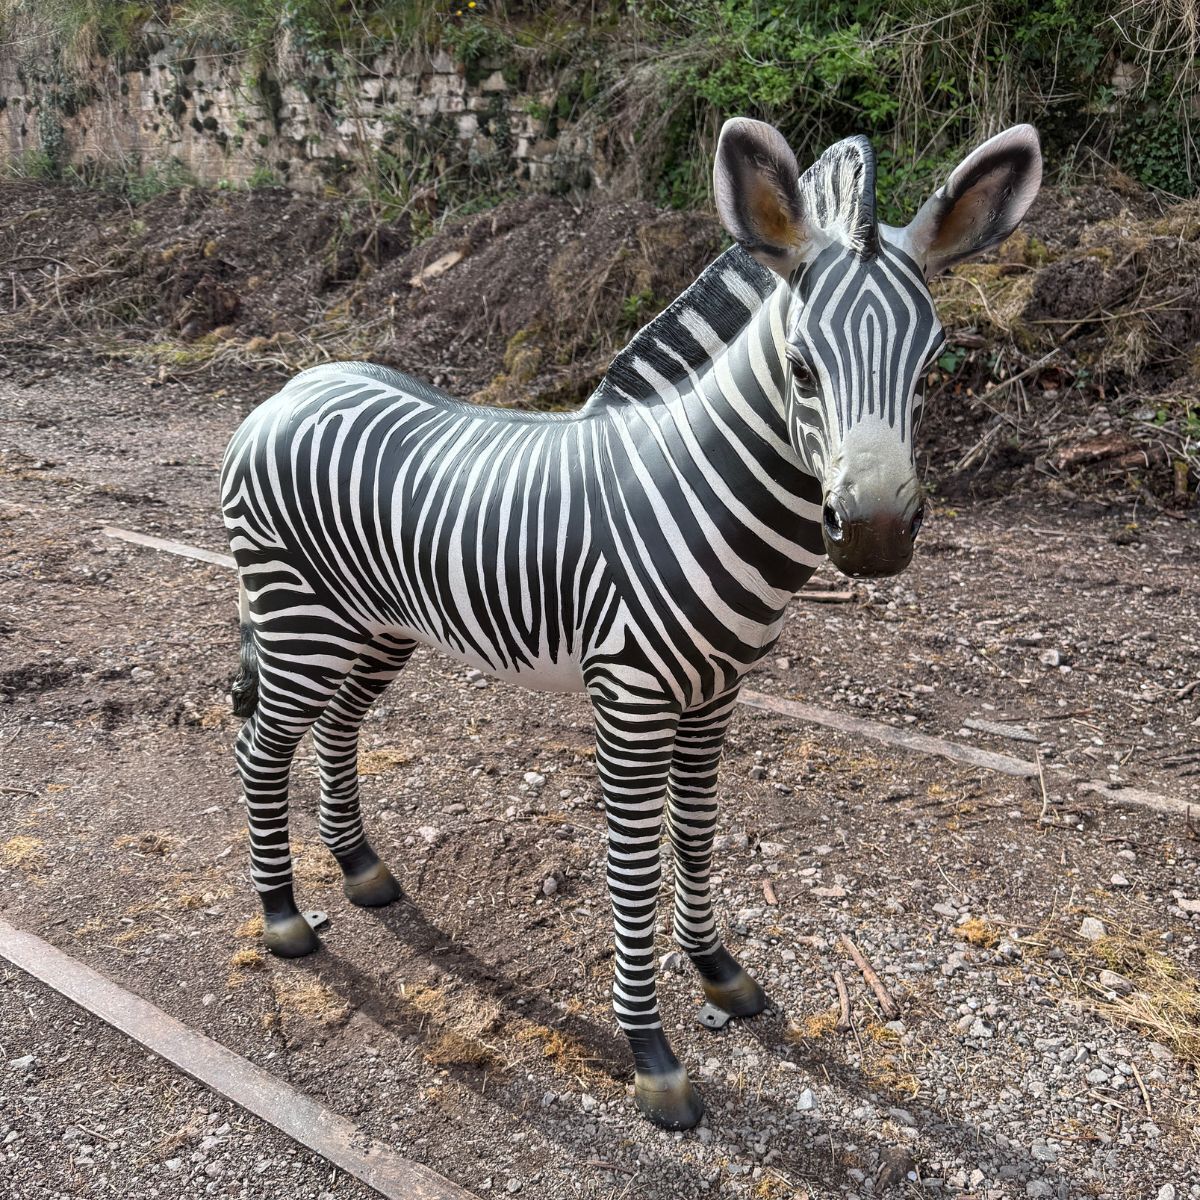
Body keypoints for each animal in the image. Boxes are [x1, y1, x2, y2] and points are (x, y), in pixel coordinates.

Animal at [220, 117, 1041, 1129]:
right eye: (803, 370)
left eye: (928, 370)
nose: (877, 535)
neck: (701, 487)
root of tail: (293, 387)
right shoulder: (633, 696)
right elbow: (633, 862)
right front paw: (652, 1054)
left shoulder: (716, 693)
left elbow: (696, 831)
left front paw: (719, 971)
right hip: (298, 614)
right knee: (262, 746)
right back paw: (284, 918)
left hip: (378, 623)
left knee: (339, 727)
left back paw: (363, 871)